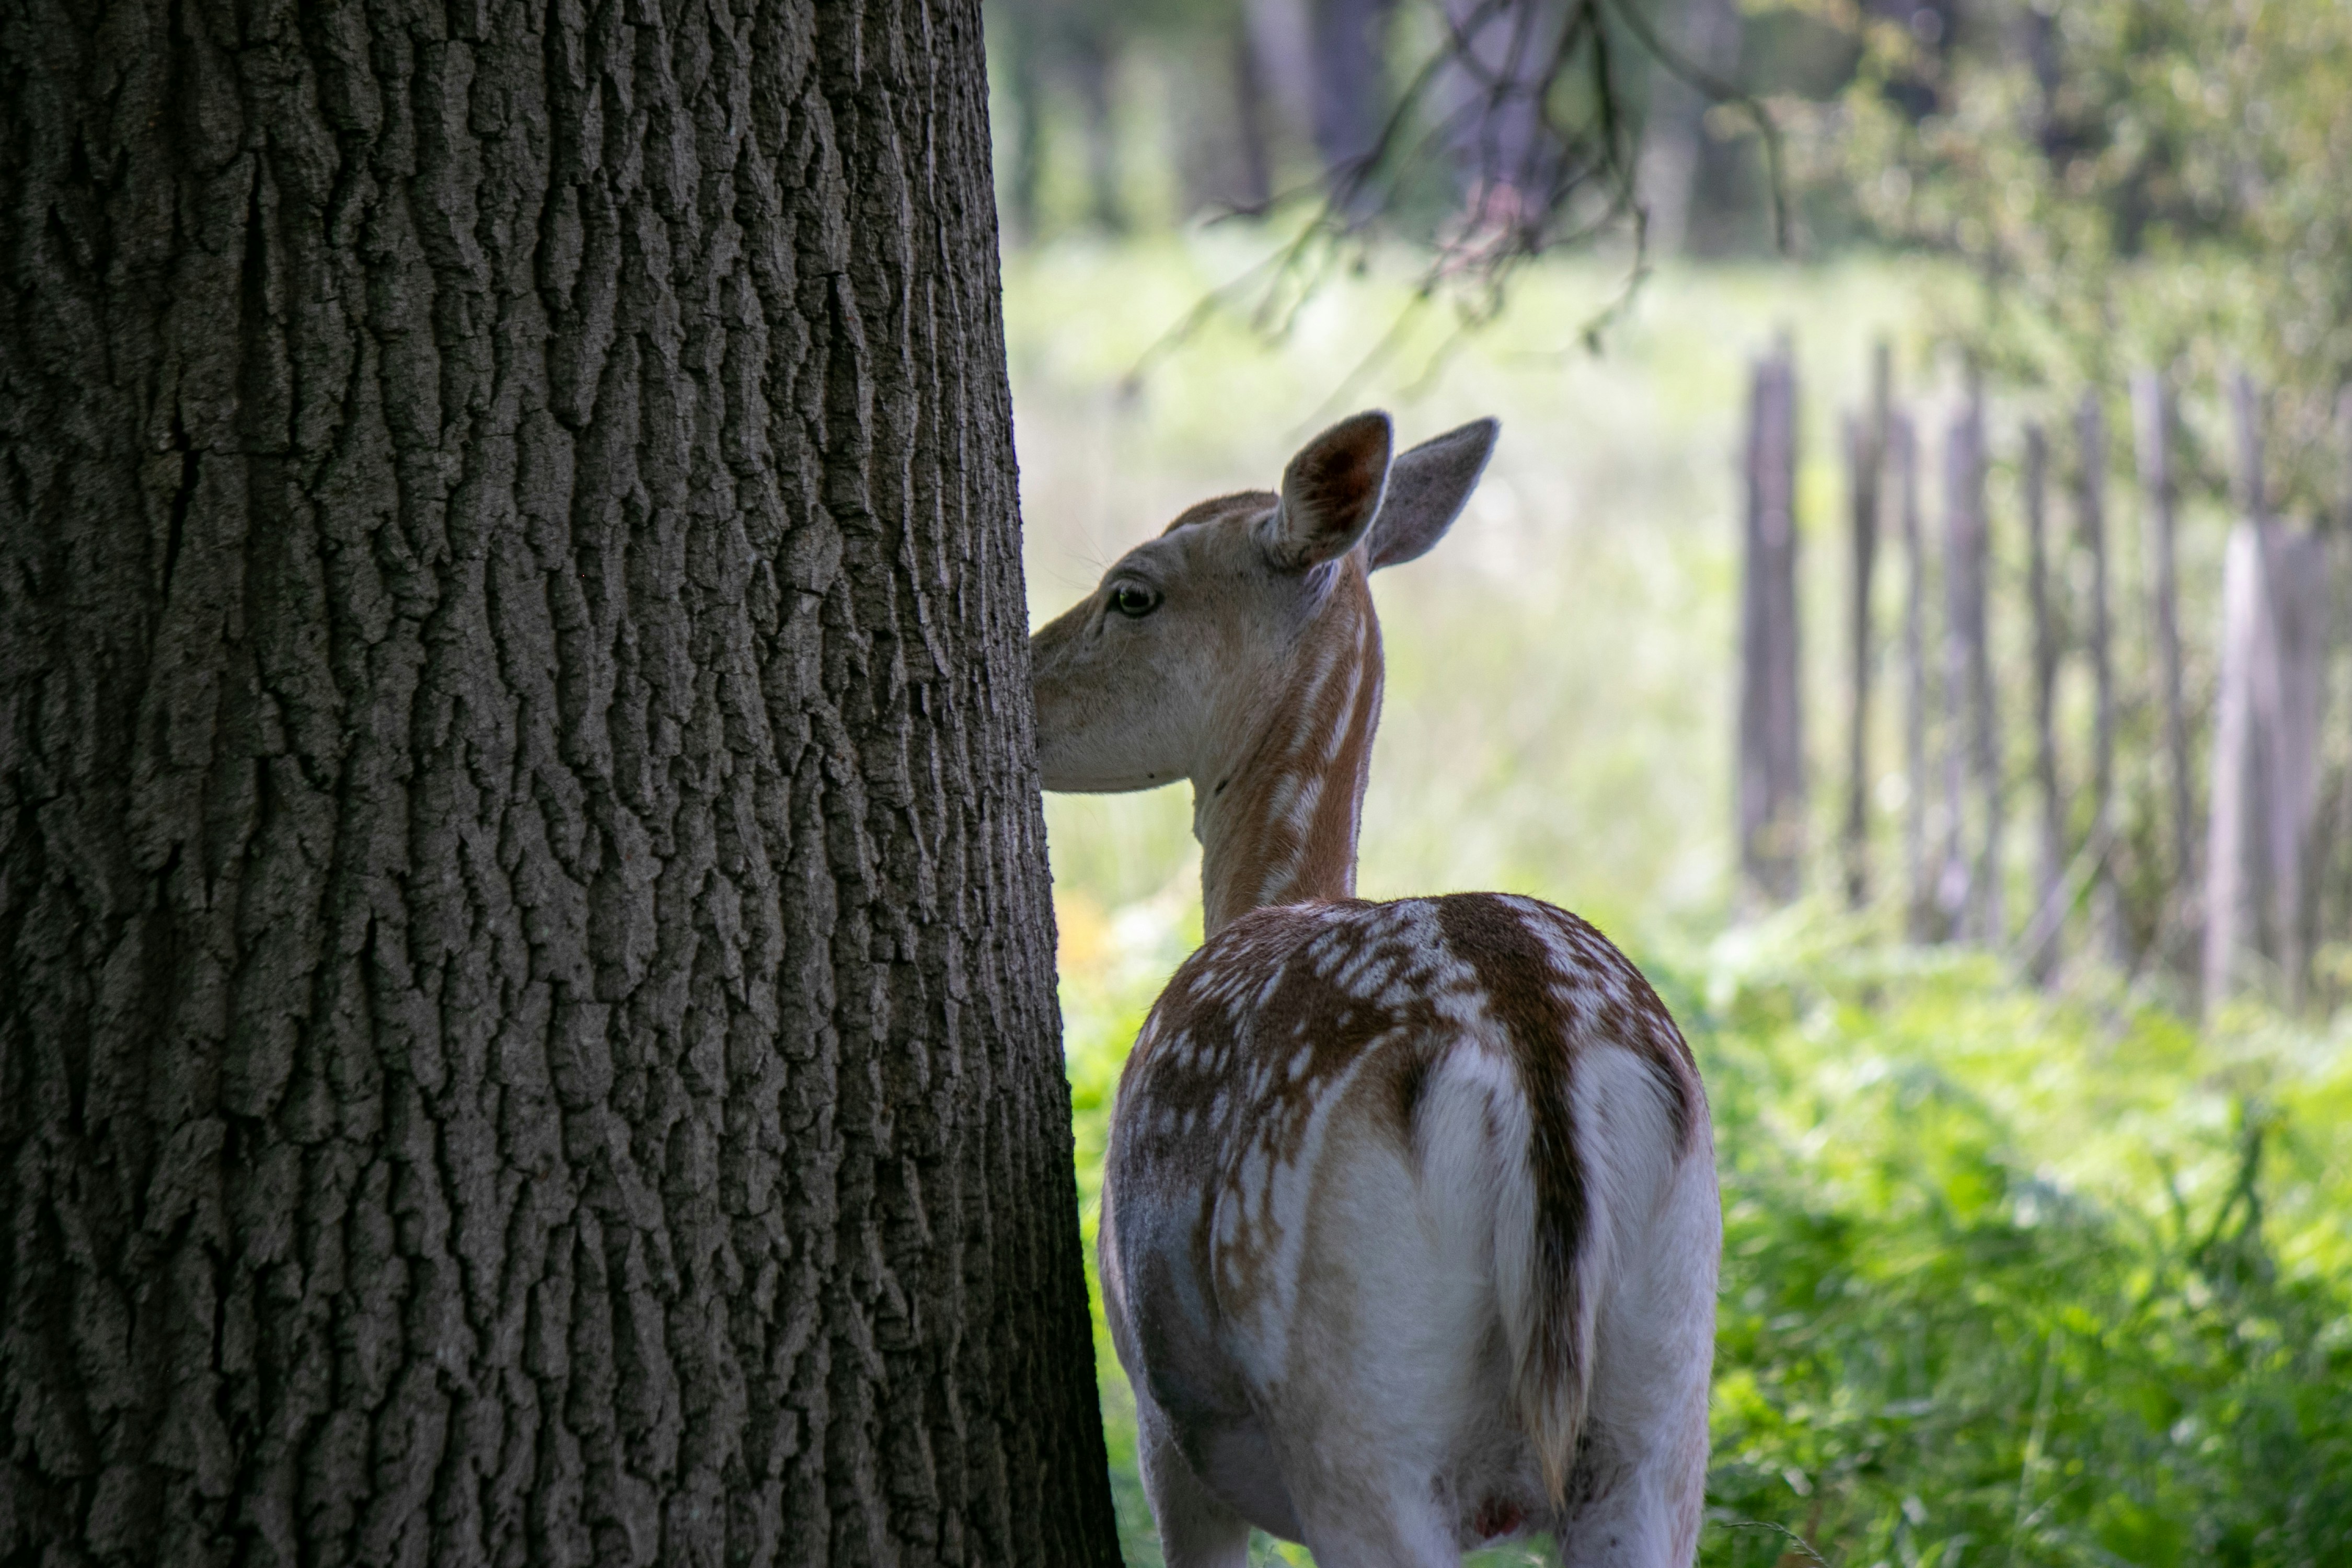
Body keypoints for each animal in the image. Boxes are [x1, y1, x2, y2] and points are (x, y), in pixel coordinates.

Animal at [1029, 411, 1720, 1568]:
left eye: (1133, 591)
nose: (1015, 687)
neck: (1271, 897)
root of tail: (1536, 1054)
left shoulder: (1163, 1425)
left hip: (1358, 1399)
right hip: (1666, 1411)